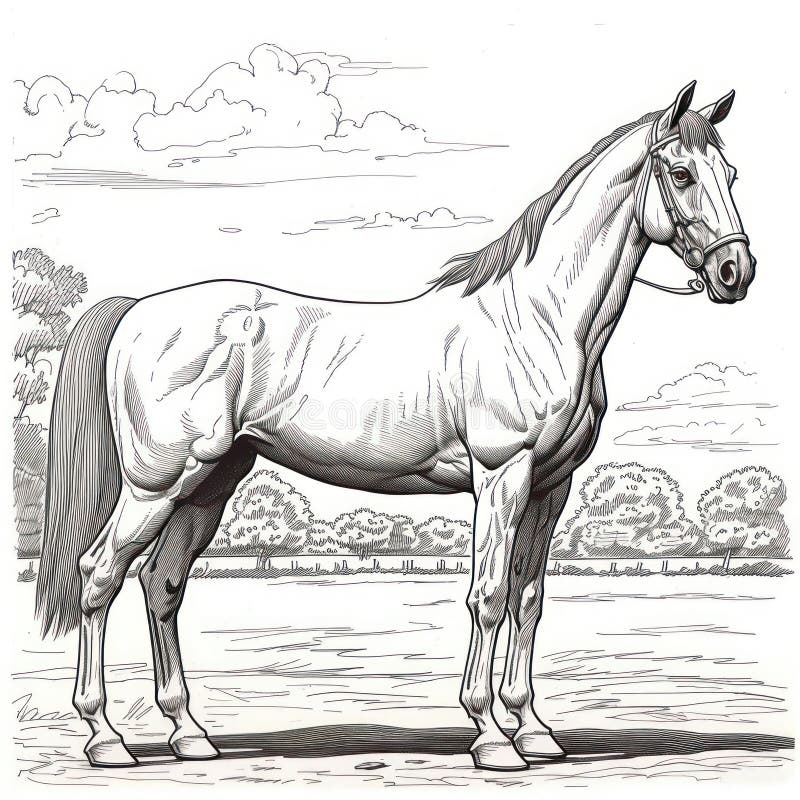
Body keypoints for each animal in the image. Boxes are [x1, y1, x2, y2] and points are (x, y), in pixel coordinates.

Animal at [35, 81, 755, 771]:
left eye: (731, 173)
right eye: (682, 173)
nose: (735, 273)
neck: (540, 317)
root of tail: (137, 311)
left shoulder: (551, 489)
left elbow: (529, 599)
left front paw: (535, 731)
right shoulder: (502, 477)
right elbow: (490, 595)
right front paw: (492, 737)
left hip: (210, 483)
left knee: (162, 585)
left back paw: (189, 734)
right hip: (157, 484)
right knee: (98, 575)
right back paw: (105, 738)